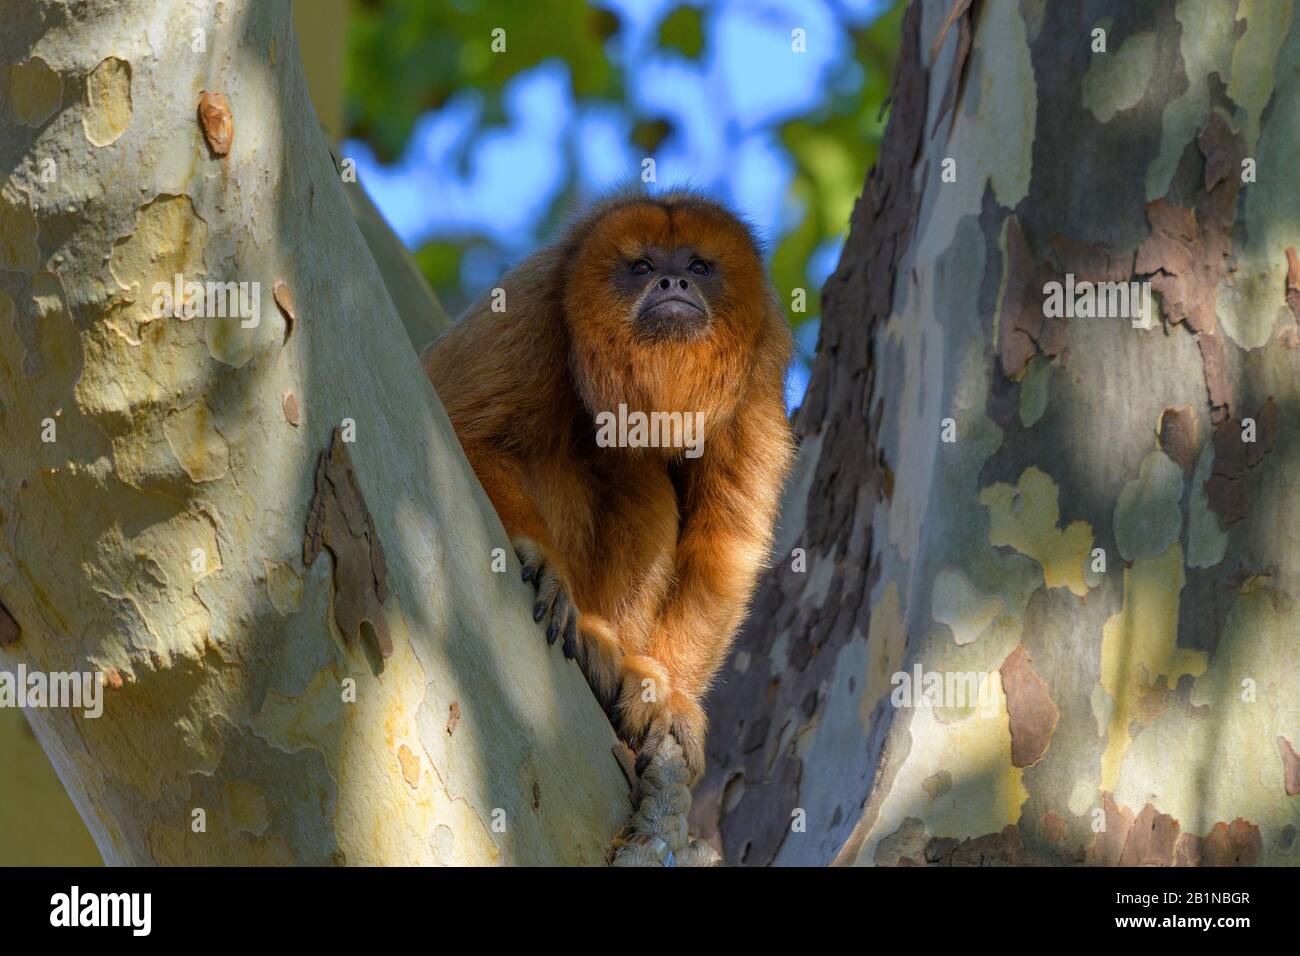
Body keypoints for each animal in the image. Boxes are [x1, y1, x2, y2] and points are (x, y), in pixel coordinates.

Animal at [422, 192, 794, 782]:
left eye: (698, 267)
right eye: (641, 266)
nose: (672, 282)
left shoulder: (759, 373)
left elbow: (725, 541)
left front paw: (672, 700)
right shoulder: (531, 303)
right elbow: (457, 425)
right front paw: (542, 559)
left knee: (639, 476)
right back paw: (597, 639)